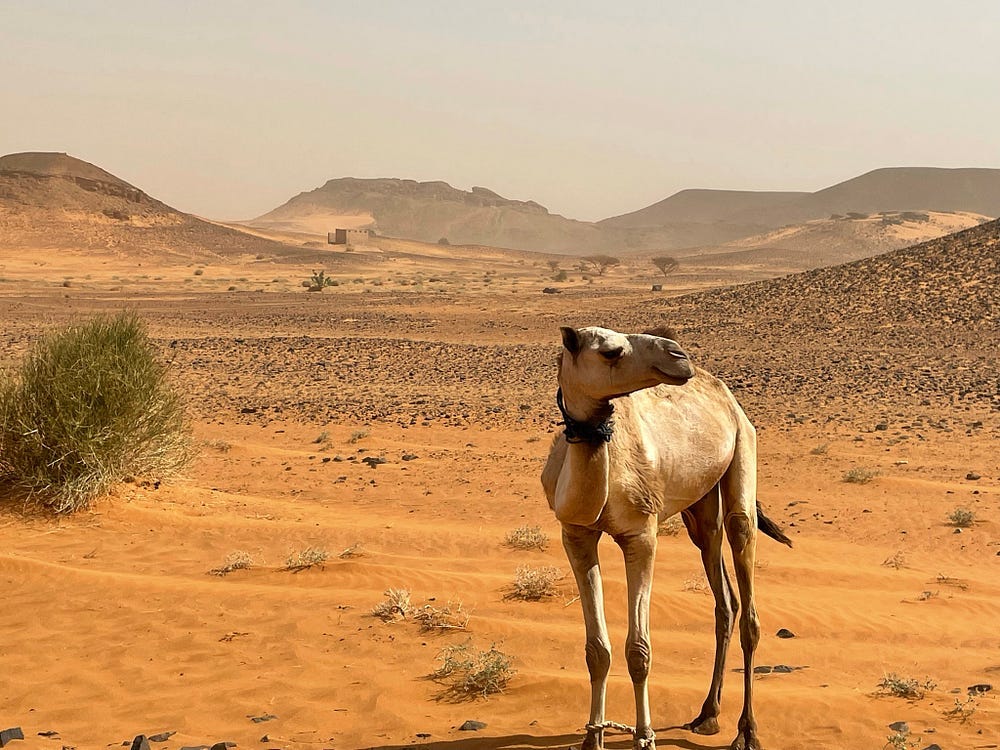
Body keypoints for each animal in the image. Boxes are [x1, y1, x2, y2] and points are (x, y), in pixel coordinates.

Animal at [541, 326, 791, 750]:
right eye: (611, 352)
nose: (678, 356)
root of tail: (726, 395)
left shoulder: (641, 534)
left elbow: (639, 650)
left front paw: (645, 737)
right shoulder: (575, 535)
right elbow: (597, 650)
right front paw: (593, 738)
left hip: (744, 448)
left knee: (746, 578)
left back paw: (747, 731)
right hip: (701, 511)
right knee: (724, 598)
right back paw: (708, 714)